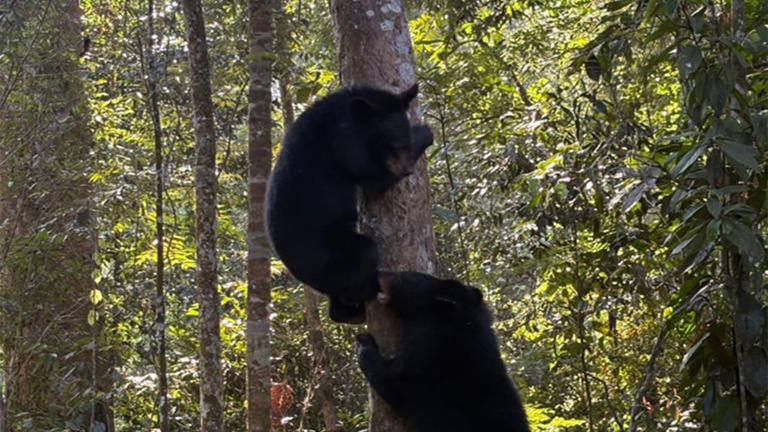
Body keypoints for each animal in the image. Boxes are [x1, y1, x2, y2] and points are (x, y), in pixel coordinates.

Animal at [265, 85, 433, 323]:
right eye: (392, 145)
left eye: (404, 143)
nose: (407, 170)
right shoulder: (346, 145)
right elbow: (375, 180)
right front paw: (425, 132)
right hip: (334, 253)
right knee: (366, 254)